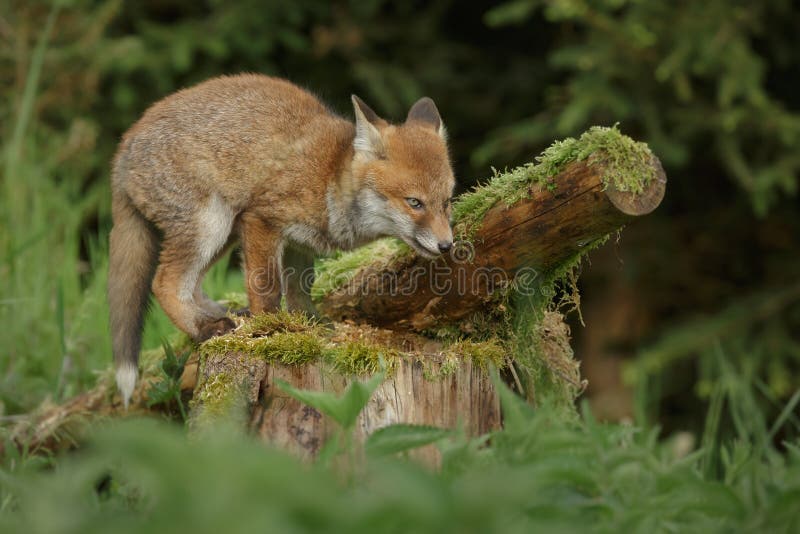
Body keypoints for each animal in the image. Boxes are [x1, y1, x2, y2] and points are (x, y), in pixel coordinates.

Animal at [108, 74, 455, 407]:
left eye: (447, 202)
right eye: (414, 203)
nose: (447, 245)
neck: (328, 176)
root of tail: (126, 141)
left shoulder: (299, 244)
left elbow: (301, 290)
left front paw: (313, 326)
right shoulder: (262, 220)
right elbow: (267, 288)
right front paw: (271, 330)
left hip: (224, 232)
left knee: (192, 286)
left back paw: (223, 316)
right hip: (211, 224)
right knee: (164, 283)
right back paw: (207, 326)